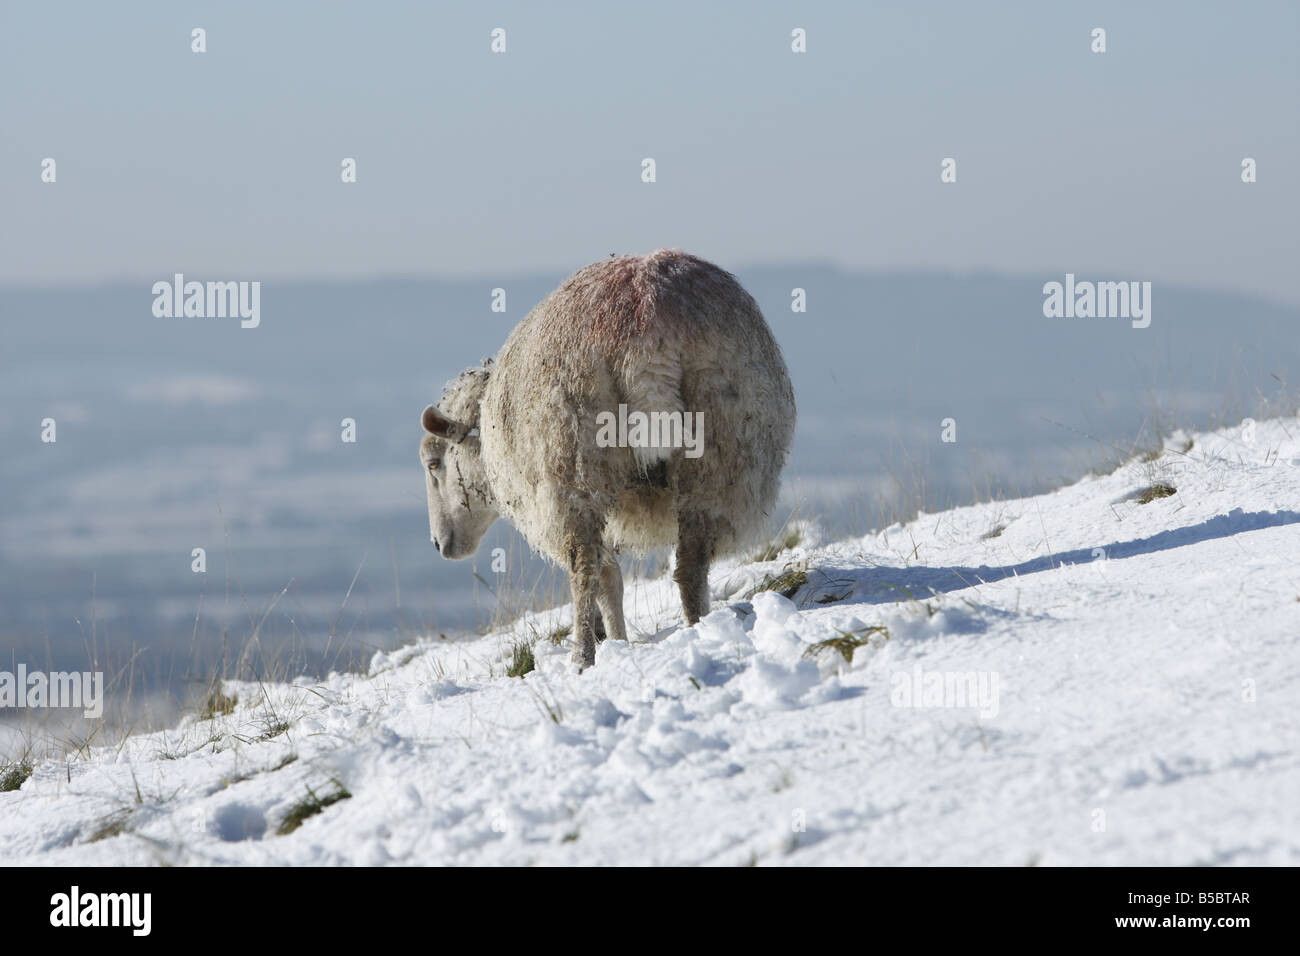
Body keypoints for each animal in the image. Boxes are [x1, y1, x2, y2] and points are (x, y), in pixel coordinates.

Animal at [419, 249, 796, 670]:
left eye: (433, 464)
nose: (439, 544)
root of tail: (649, 319)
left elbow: (608, 578)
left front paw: (614, 640)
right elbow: (615, 575)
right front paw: (619, 640)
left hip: (575, 461)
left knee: (585, 569)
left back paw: (582, 656)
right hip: (722, 443)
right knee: (691, 563)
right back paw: (700, 629)